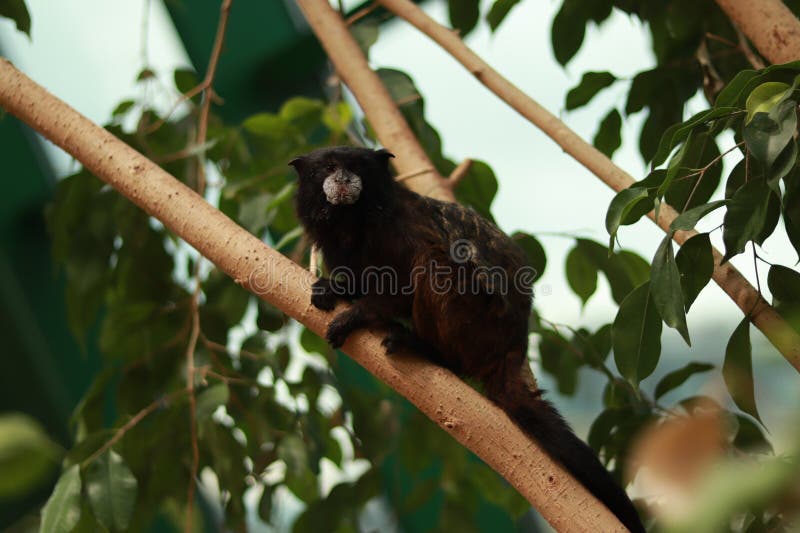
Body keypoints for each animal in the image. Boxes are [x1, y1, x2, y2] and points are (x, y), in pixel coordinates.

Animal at [290, 146, 645, 533]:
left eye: (355, 167)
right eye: (329, 167)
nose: (341, 179)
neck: (353, 222)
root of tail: (512, 344)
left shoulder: (400, 229)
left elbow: (402, 282)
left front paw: (361, 314)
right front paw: (337, 288)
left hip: (477, 324)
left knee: (436, 262)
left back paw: (429, 349)